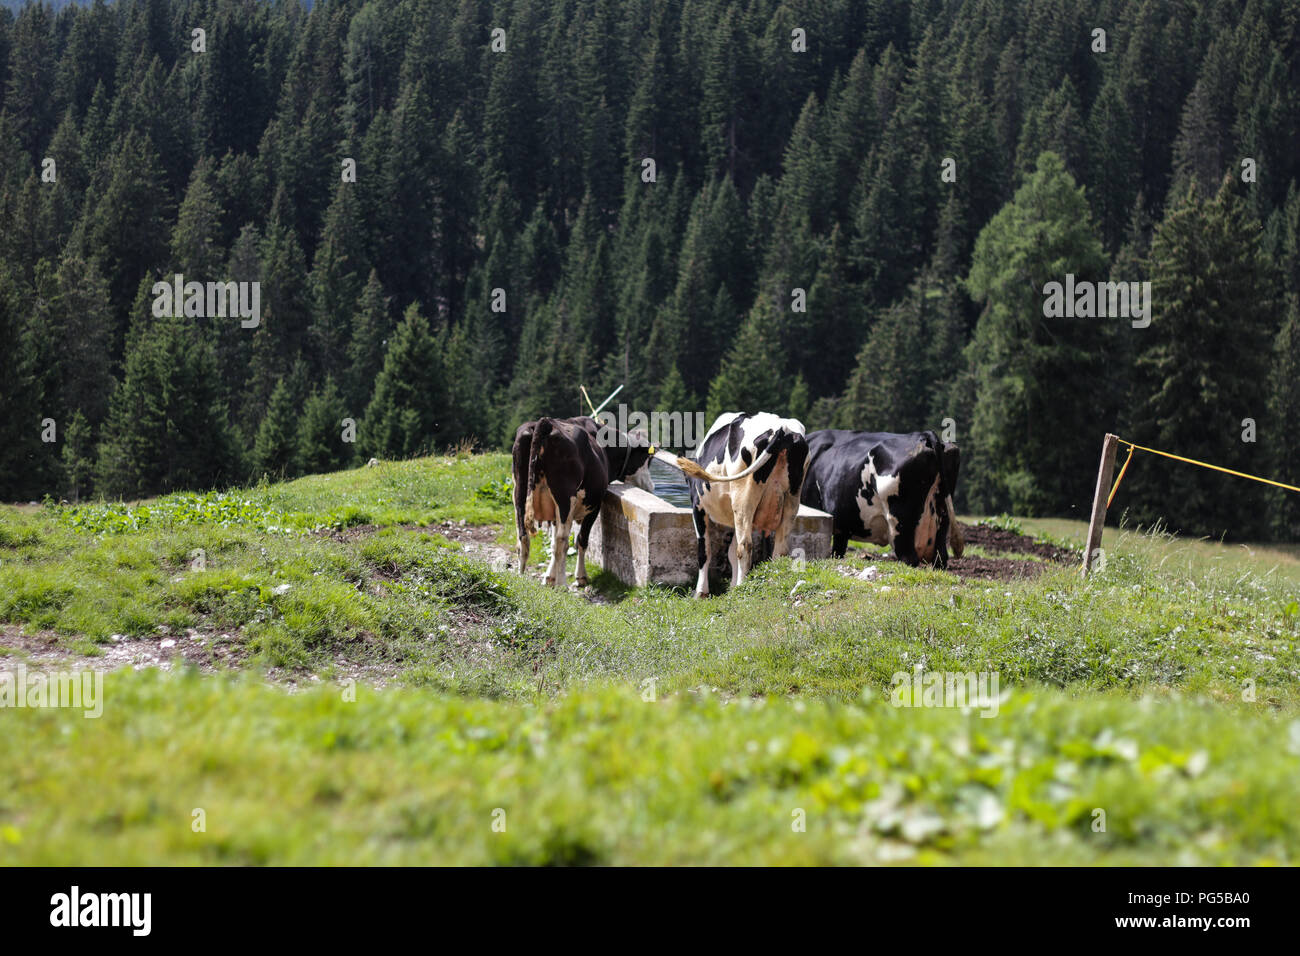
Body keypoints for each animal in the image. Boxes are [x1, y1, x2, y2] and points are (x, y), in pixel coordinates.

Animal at [512, 416, 654, 588]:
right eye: (647, 460)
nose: (651, 487)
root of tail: (546, 422)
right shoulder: (594, 505)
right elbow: (581, 540)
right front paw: (580, 576)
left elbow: (552, 543)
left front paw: (549, 577)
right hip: (565, 498)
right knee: (562, 541)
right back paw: (562, 585)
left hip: (520, 494)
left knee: (523, 537)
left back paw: (520, 577)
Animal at [675, 412, 808, 598]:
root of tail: (783, 428)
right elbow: (730, 552)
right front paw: (731, 587)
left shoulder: (698, 507)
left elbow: (704, 551)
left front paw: (701, 592)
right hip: (792, 498)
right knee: (780, 546)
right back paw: (771, 580)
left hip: (743, 497)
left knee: (745, 545)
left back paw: (741, 586)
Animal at [800, 429, 965, 567]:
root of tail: (922, 435)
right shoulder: (842, 528)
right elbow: (838, 551)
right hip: (941, 516)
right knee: (940, 557)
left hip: (900, 522)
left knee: (909, 557)